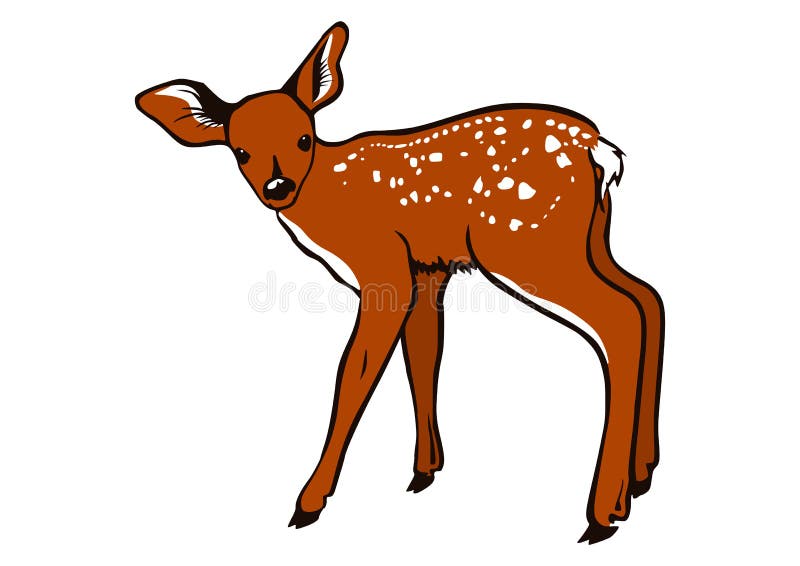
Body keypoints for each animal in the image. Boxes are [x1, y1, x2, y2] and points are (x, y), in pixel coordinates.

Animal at [135, 22, 664, 544]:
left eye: (305, 138)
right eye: (240, 151)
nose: (278, 188)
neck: (329, 196)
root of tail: (599, 149)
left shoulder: (382, 267)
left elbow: (353, 372)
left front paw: (309, 503)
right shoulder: (426, 271)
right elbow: (424, 355)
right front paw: (424, 470)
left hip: (524, 243)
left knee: (620, 317)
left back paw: (603, 513)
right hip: (590, 239)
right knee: (648, 298)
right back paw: (641, 476)